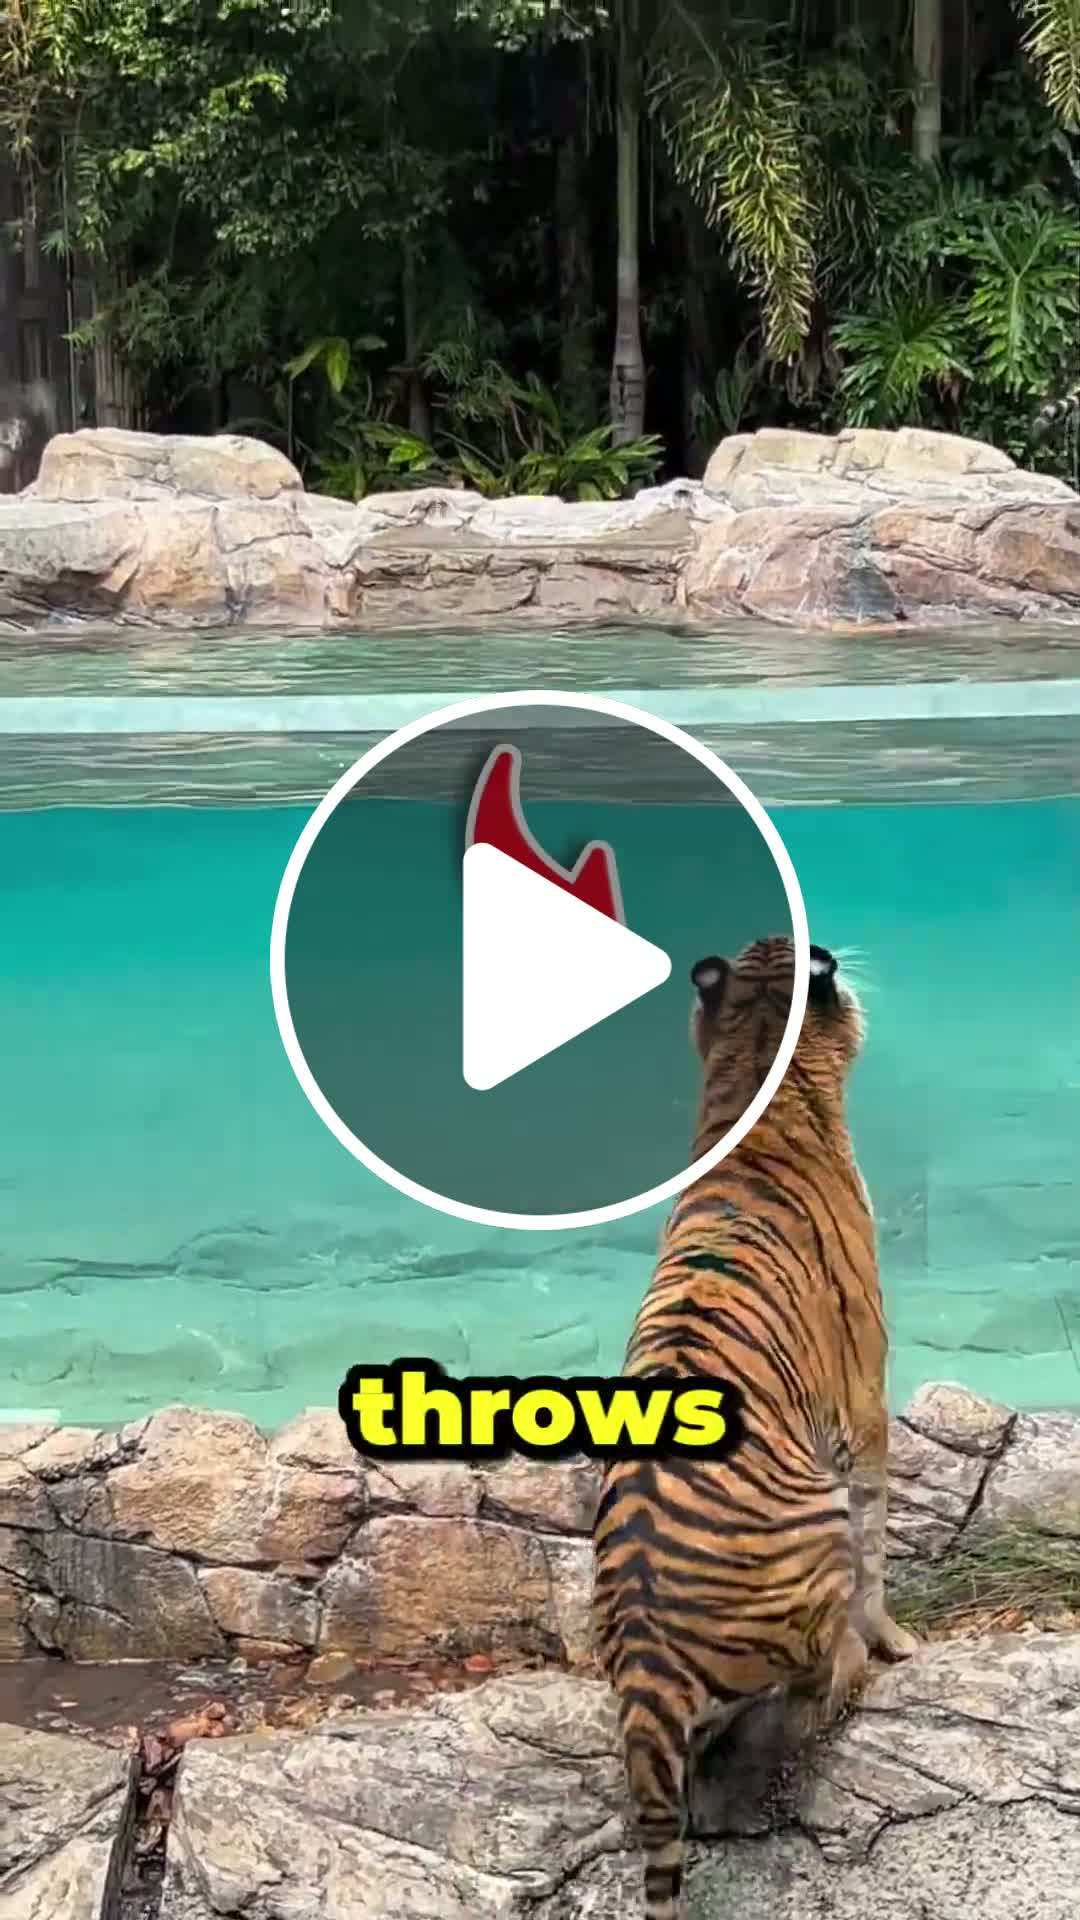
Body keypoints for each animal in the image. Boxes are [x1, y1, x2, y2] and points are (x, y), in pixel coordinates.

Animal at [592, 934, 918, 1920]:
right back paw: (854, 1664)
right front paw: (897, 1640)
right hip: (815, 1531)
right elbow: (880, 1533)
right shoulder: (865, 1400)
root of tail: (647, 1659)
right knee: (810, 1689)